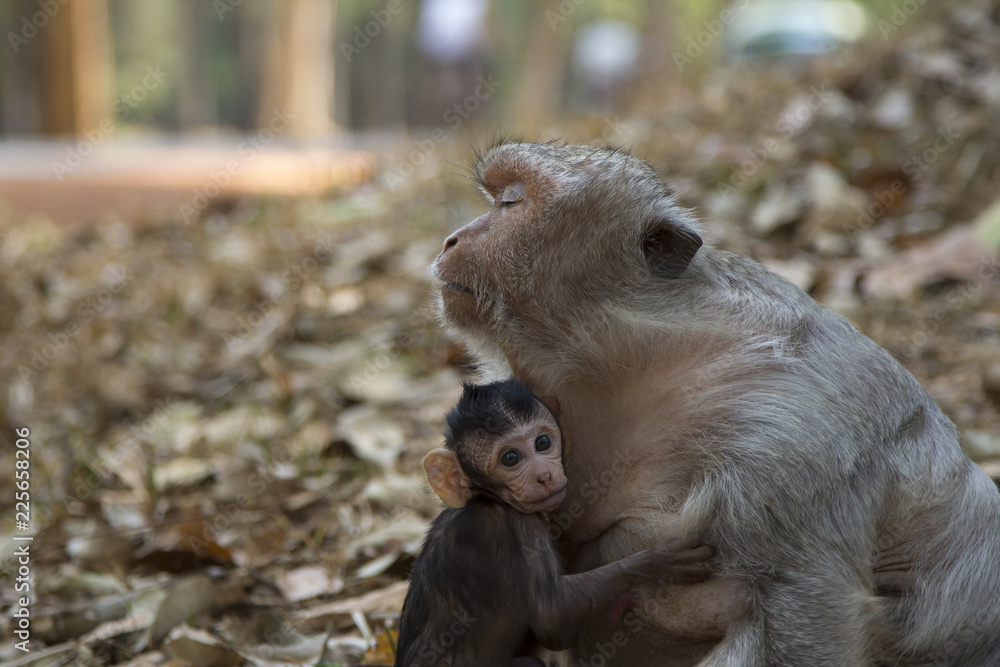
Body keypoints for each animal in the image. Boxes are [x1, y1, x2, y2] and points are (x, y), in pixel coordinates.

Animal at [394, 380, 713, 667]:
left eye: (543, 443)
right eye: (510, 458)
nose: (543, 476)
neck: (488, 498)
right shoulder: (519, 527)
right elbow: (552, 617)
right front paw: (660, 562)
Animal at [429, 141, 1000, 666]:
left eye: (512, 201)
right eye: (498, 196)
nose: (452, 237)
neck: (637, 358)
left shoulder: (786, 439)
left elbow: (805, 603)